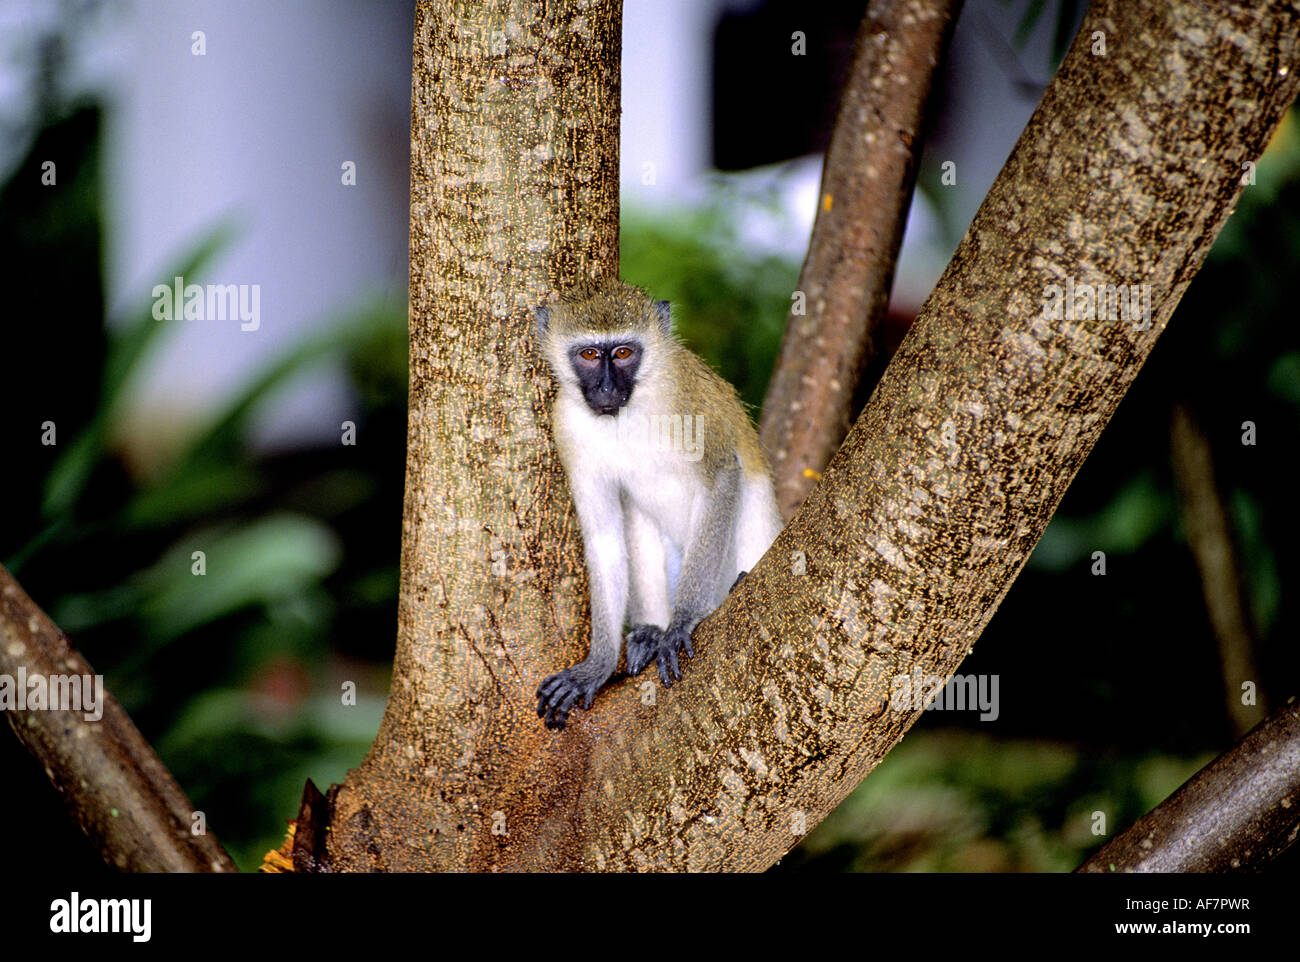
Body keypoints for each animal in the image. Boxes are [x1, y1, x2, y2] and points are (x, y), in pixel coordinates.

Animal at [533, 280, 782, 729]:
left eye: (624, 353)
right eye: (590, 354)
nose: (607, 390)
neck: (626, 414)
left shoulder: (686, 397)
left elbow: (722, 478)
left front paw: (683, 621)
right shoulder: (566, 425)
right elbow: (604, 535)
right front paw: (598, 665)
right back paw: (650, 630)